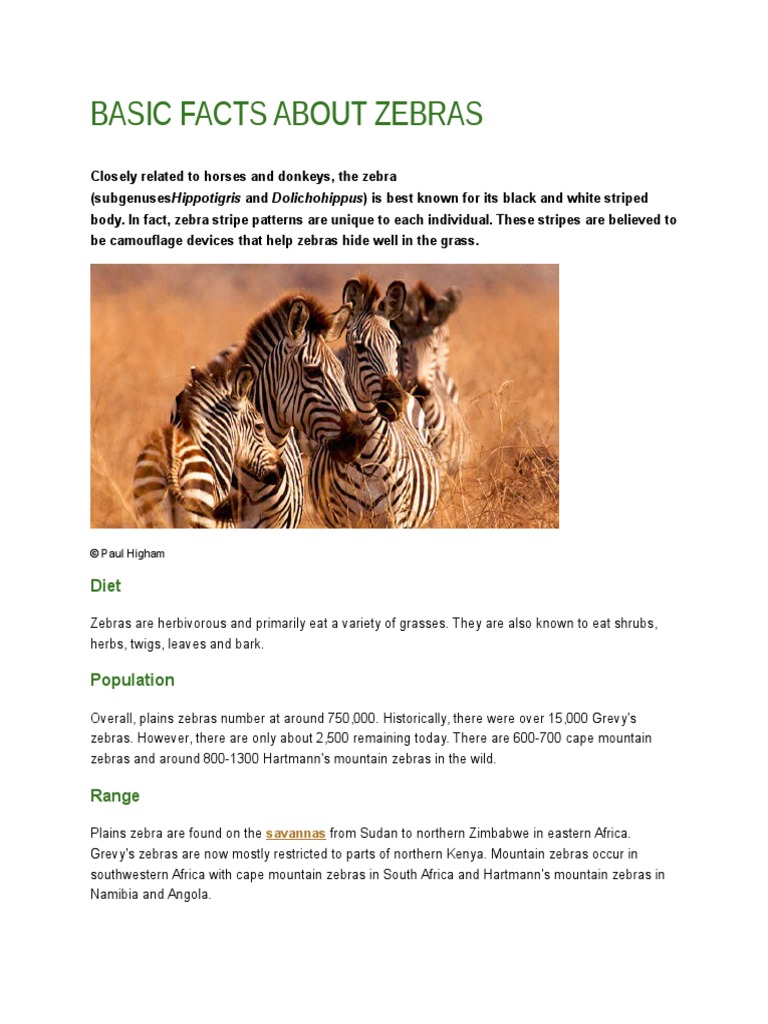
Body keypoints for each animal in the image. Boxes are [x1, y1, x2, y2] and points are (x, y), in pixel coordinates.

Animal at [308, 276, 440, 528]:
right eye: (360, 347)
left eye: (396, 346)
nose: (395, 401)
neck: (368, 457)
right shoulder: (344, 521)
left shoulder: (396, 518)